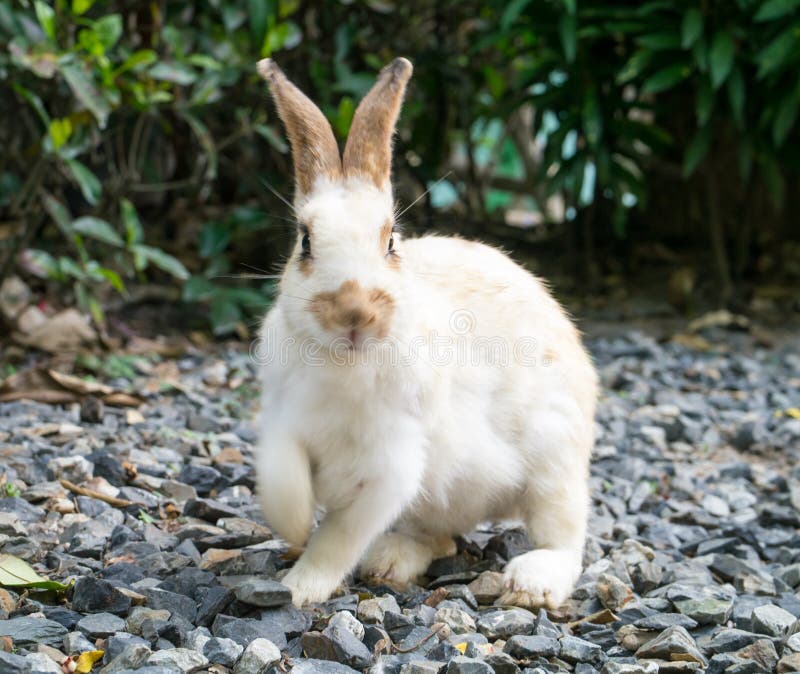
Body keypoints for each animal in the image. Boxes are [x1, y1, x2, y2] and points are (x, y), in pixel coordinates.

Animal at [254, 56, 598, 610]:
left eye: (390, 241)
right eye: (305, 241)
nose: (354, 312)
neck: (344, 365)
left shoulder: (392, 464)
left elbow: (341, 536)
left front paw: (300, 588)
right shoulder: (285, 428)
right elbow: (283, 482)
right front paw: (294, 525)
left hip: (555, 463)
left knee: (563, 537)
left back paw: (531, 582)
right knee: (439, 536)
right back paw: (392, 560)